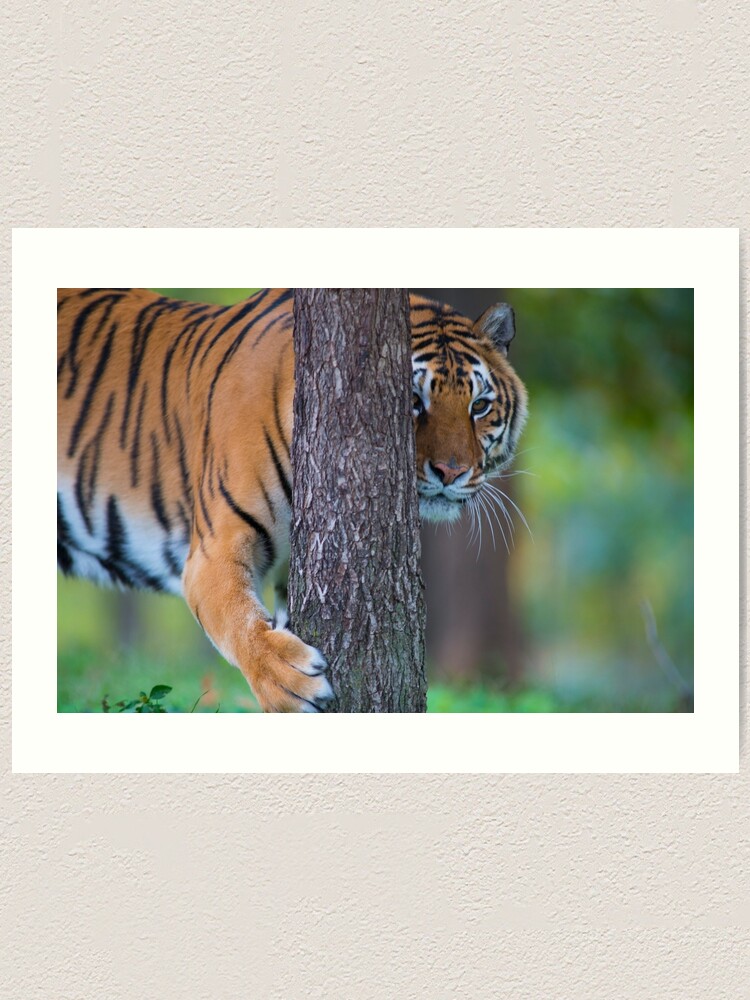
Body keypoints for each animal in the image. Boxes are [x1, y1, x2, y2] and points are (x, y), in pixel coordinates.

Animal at [57, 288, 528, 712]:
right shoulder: (214, 548)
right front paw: (288, 680)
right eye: (412, 400)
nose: (451, 472)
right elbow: (238, 617)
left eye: (479, 405)